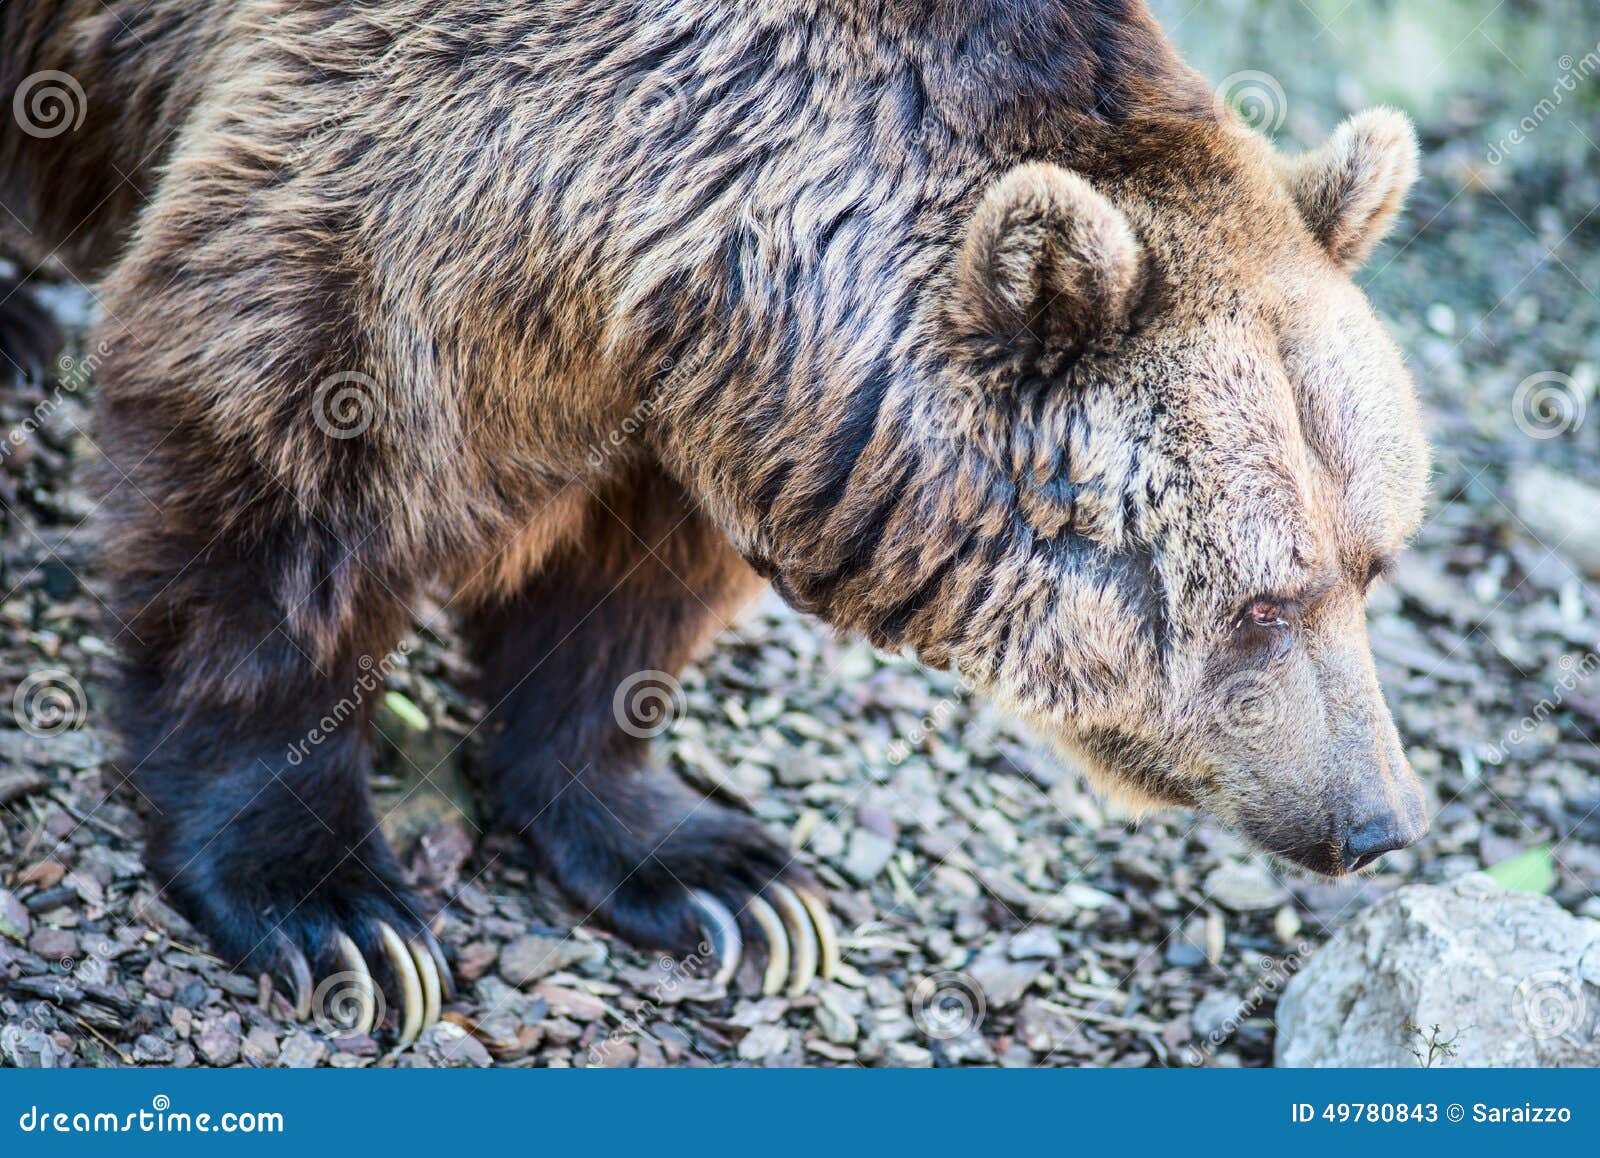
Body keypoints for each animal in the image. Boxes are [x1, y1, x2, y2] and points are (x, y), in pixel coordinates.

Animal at [1, 0, 1430, 1042]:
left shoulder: (696, 410)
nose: (1379, 821)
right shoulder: (388, 194)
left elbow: (620, 606)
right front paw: (332, 905)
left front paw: (720, 875)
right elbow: (273, 480)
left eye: (1372, 563)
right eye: (1260, 599)